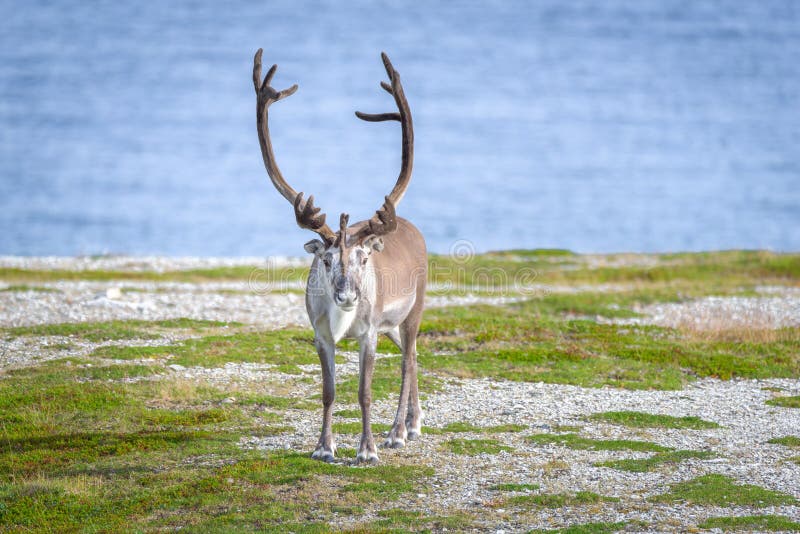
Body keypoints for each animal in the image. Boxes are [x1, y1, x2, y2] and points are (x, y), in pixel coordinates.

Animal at [253, 49, 427, 464]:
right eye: (327, 259)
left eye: (363, 258)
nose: (347, 297)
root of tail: (412, 229)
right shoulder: (320, 334)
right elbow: (328, 392)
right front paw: (323, 447)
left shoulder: (369, 333)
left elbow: (364, 393)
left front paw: (367, 450)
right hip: (392, 325)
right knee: (413, 356)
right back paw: (413, 423)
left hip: (413, 310)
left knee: (408, 359)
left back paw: (398, 432)